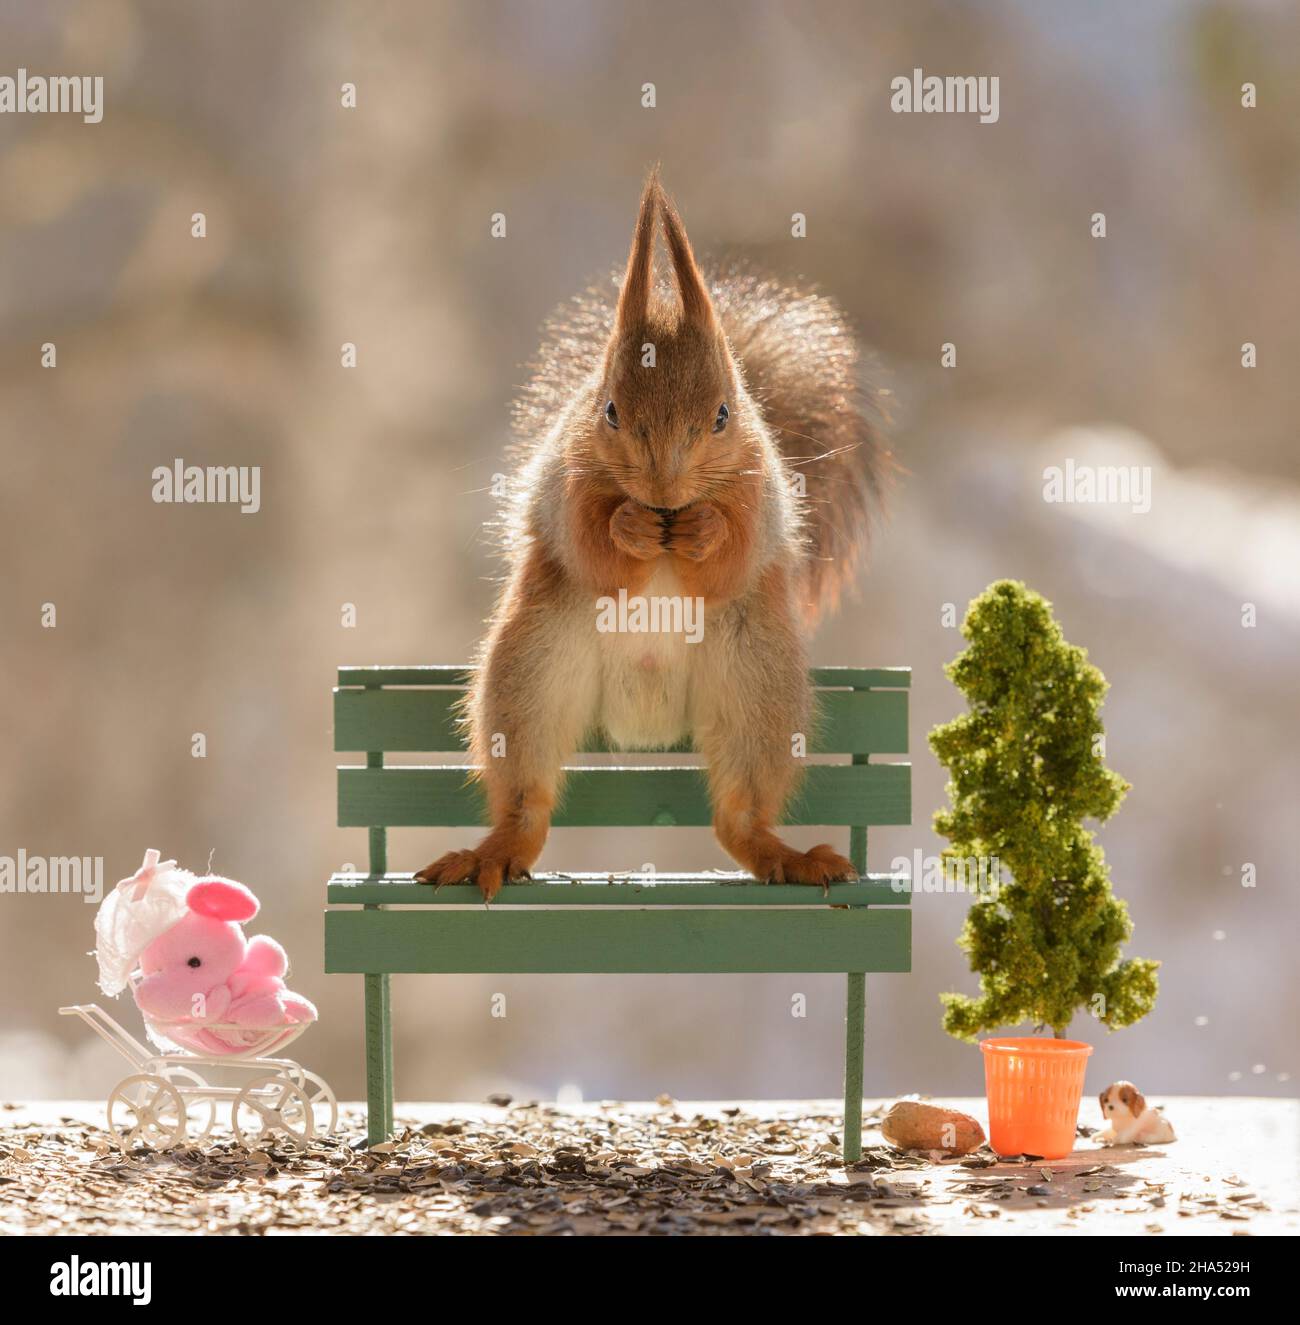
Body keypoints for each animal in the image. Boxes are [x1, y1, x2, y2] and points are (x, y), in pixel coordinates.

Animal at [417, 169, 890, 901]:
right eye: (609, 409)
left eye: (724, 413)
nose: (665, 494)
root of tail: (644, 719)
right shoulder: (568, 479)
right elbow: (590, 541)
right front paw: (627, 524)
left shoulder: (761, 489)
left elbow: (733, 554)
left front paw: (704, 528)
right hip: (533, 665)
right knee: (526, 795)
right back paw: (495, 850)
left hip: (757, 684)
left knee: (738, 813)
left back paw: (783, 854)